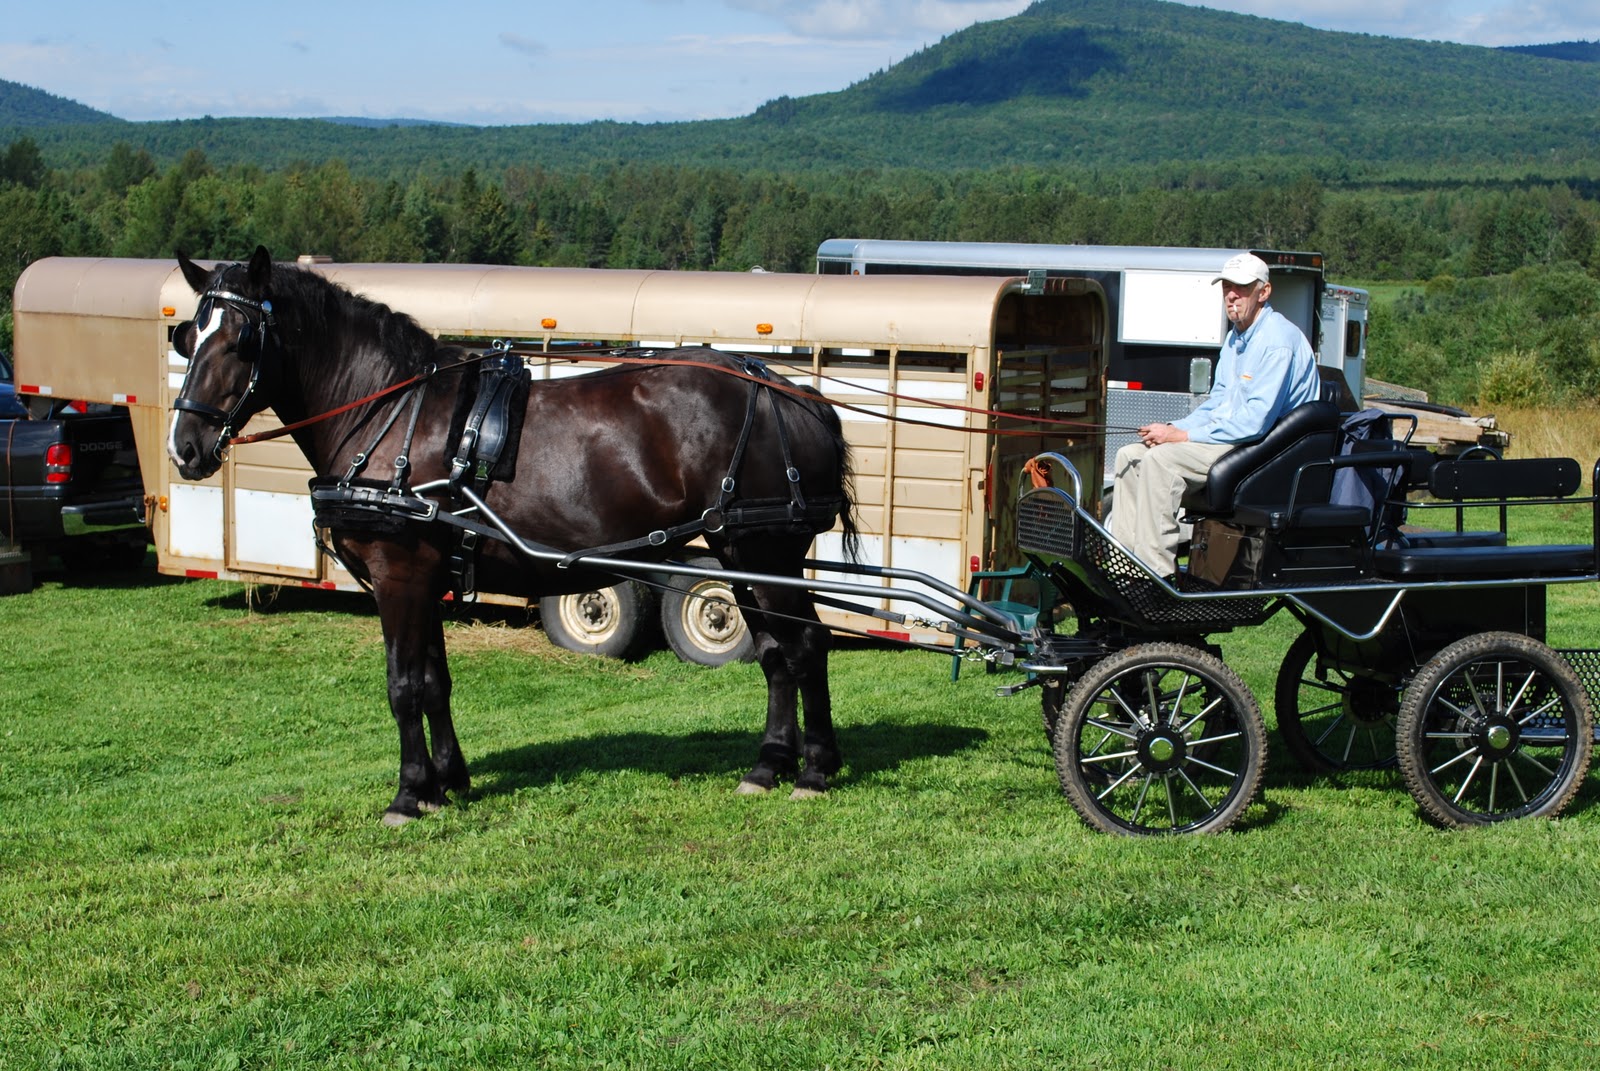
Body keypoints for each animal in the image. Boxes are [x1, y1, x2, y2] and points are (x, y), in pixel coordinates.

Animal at [167, 247, 859, 825]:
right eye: (186, 337)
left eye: (239, 339)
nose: (185, 449)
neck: (389, 413)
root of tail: (797, 395)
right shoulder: (428, 580)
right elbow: (434, 682)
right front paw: (448, 783)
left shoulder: (399, 575)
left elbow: (403, 686)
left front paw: (407, 795)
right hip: (742, 559)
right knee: (776, 655)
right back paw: (768, 766)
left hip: (762, 552)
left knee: (805, 648)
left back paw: (815, 771)